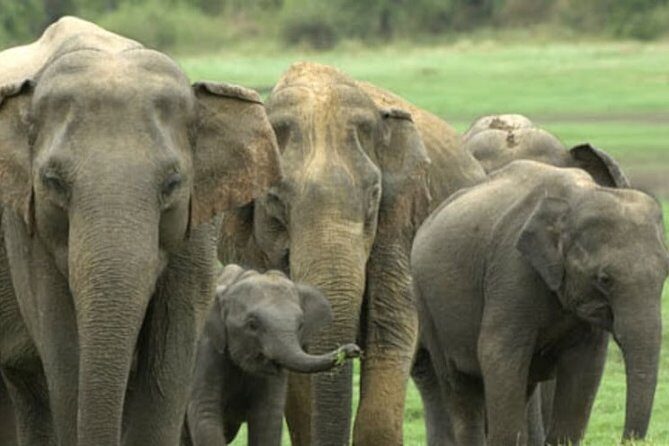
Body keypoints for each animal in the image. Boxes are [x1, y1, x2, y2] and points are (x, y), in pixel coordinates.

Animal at [0, 16, 280, 445]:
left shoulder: (197, 228)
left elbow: (168, 361)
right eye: (52, 182)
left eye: (173, 183)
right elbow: (65, 357)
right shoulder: (26, 227)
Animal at [185, 264, 360, 446]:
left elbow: (268, 419)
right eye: (252, 324)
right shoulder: (205, 349)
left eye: (300, 325)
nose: (354, 349)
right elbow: (206, 412)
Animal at [411, 160, 668, 445]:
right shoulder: (512, 269)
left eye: (665, 274)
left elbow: (586, 364)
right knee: (459, 386)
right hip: (426, 302)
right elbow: (497, 352)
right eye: (604, 279)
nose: (627, 439)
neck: (579, 196)